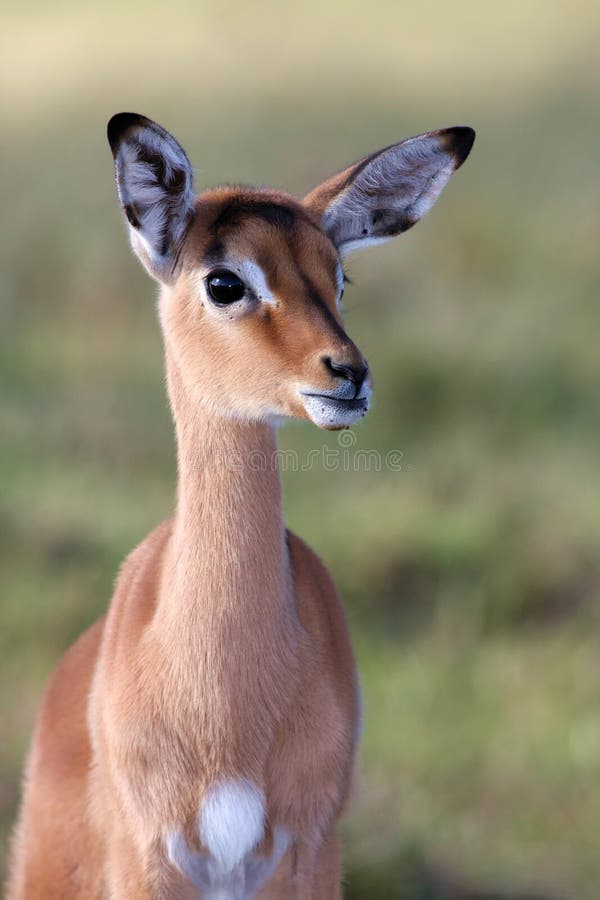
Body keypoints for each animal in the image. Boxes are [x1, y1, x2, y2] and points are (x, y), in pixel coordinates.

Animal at [7, 113, 474, 899]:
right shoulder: (150, 858)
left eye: (339, 276)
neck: (225, 709)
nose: (349, 374)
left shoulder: (309, 852)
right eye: (225, 281)